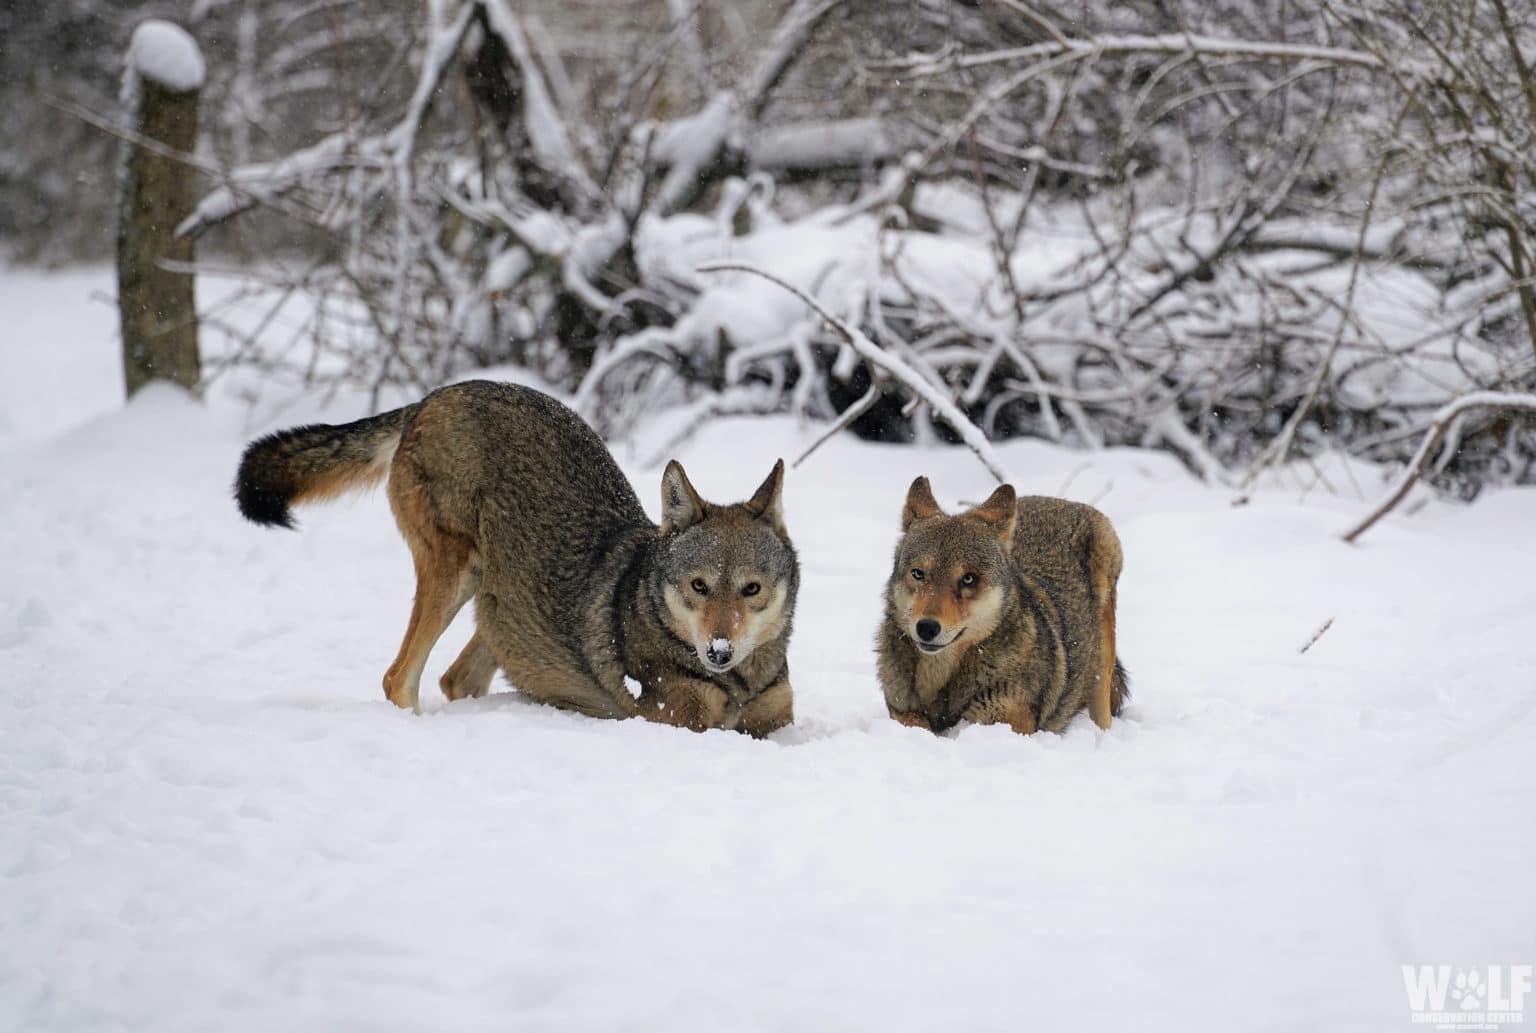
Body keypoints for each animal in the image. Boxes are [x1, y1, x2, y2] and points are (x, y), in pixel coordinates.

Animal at [235, 380, 798, 735]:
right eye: (698, 586)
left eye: (750, 589)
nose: (719, 651)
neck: (740, 681)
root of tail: (433, 396)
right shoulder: (682, 724)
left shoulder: (776, 721)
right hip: (458, 580)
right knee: (399, 678)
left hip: (501, 608)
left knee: (455, 679)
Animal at [876, 477, 1128, 735]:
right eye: (918, 574)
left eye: (968, 579)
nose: (927, 627)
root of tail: (1061, 501)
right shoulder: (902, 712)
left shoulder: (1007, 721)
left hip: (1101, 671)